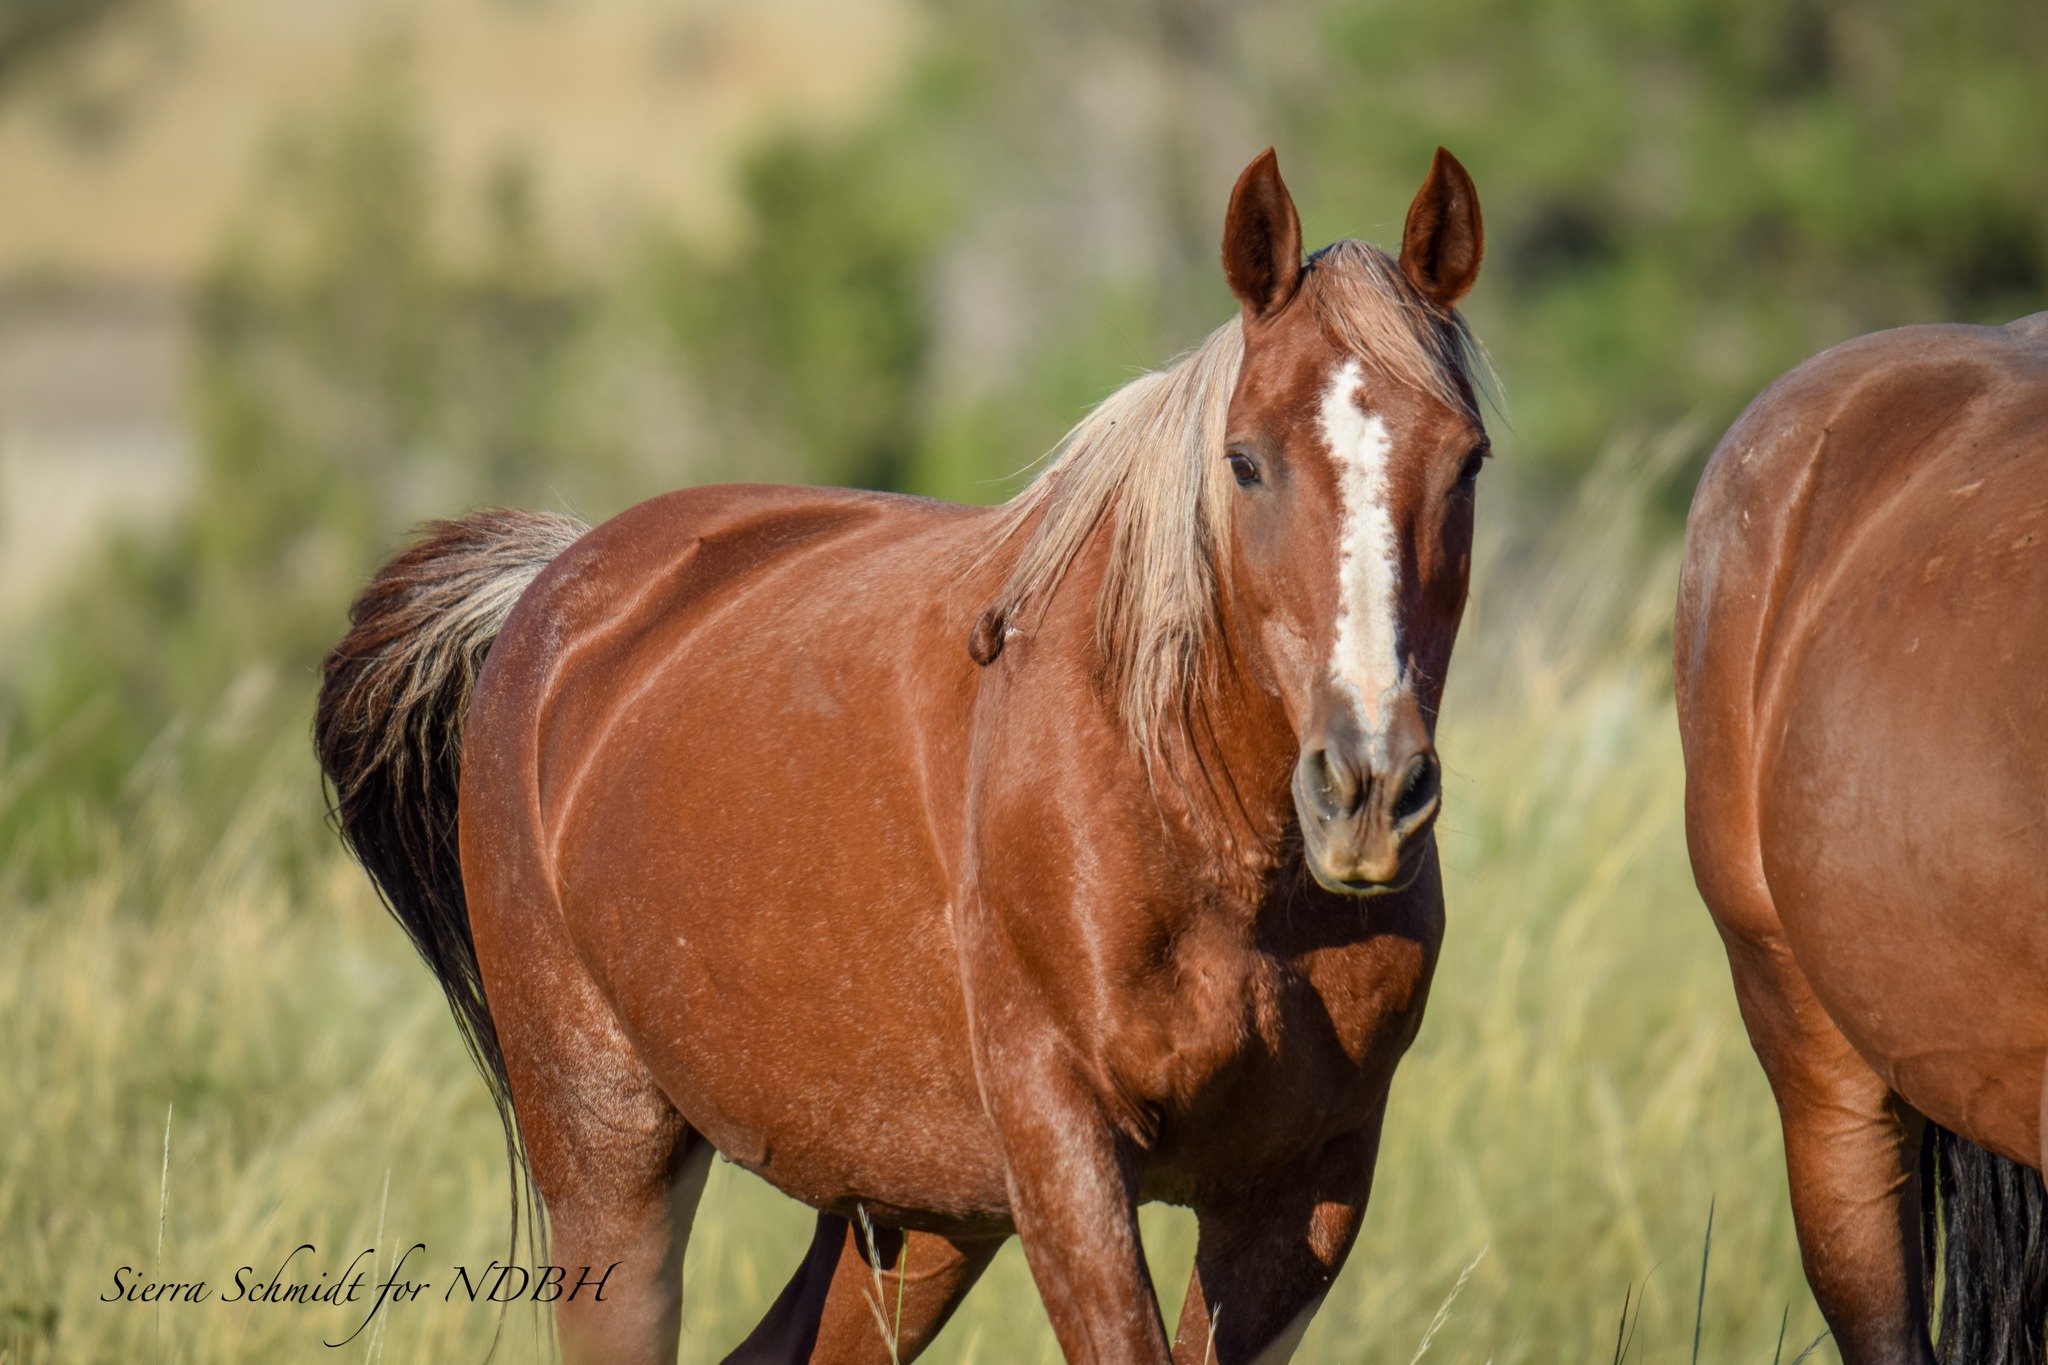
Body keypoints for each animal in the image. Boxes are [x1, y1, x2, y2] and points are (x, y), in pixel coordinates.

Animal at [316, 146, 1490, 1365]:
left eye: (1466, 463)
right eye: (1246, 462)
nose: (1367, 789)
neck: (1205, 840)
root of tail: (554, 589)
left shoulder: (1303, 1192)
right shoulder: (1064, 1154)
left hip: (910, 1216)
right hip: (608, 1157)